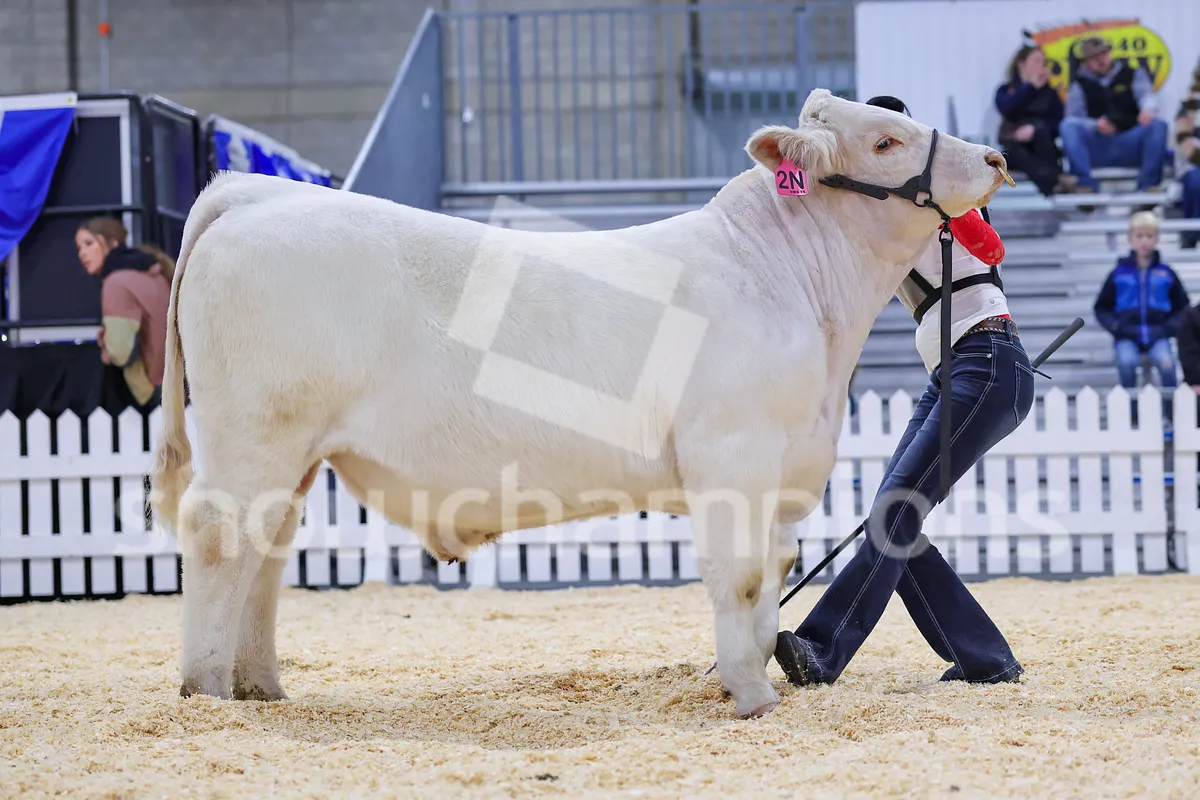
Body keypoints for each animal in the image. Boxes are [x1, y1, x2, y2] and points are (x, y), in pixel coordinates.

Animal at [150, 88, 1009, 719]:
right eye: (887, 141)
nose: (996, 156)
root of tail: (252, 195)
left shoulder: (785, 472)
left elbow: (774, 574)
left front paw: (756, 679)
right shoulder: (732, 457)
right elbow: (738, 578)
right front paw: (751, 695)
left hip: (291, 453)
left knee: (266, 549)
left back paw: (262, 686)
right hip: (256, 434)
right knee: (221, 539)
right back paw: (208, 691)